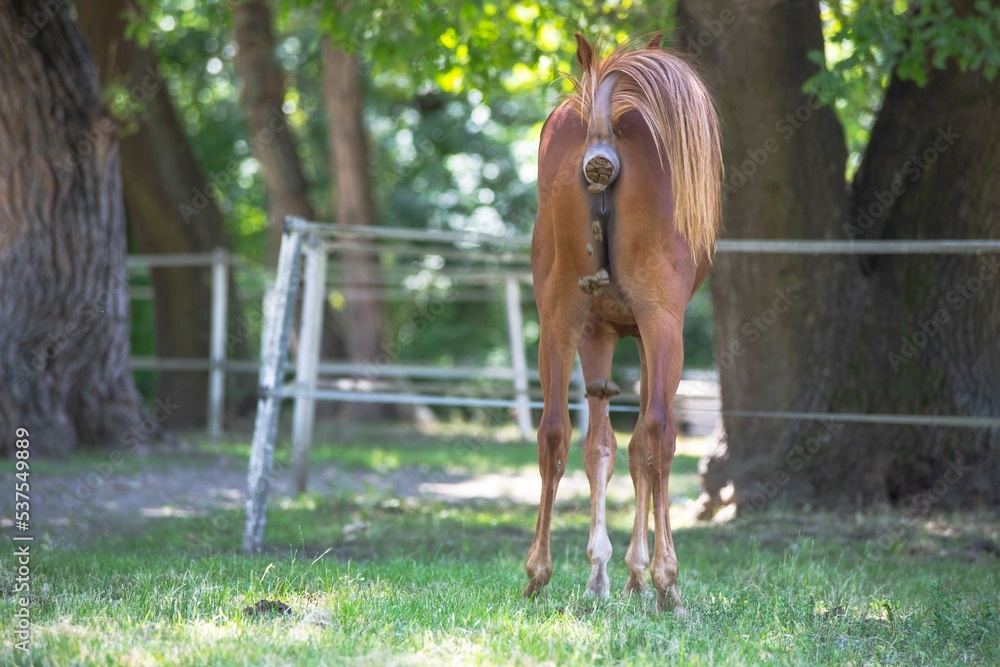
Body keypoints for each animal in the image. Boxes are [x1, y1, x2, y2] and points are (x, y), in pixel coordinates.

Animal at [525, 33, 722, 613]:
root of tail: (601, 138)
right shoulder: (653, 333)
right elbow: (641, 449)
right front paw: (637, 574)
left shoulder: (599, 333)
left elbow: (602, 449)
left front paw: (601, 574)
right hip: (663, 326)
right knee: (660, 433)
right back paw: (667, 581)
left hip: (559, 318)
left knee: (554, 431)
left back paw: (537, 573)